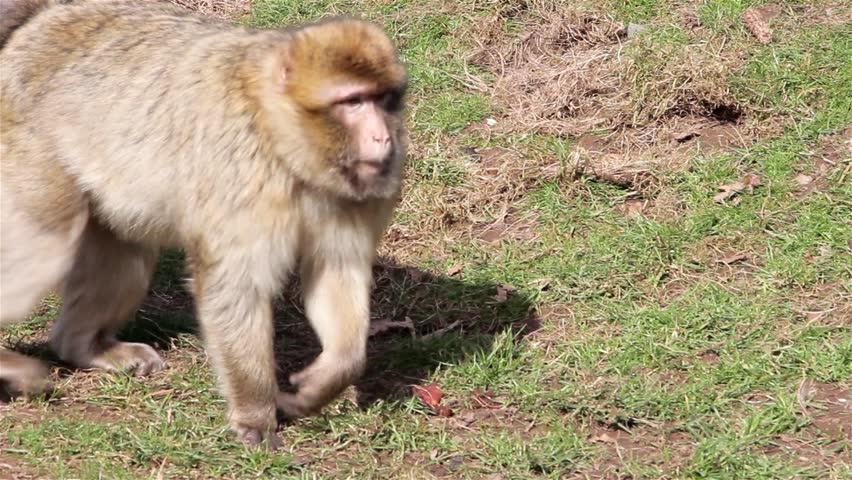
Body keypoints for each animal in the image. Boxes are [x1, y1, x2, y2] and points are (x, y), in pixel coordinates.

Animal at [0, 0, 408, 448]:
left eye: (383, 99)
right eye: (352, 101)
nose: (383, 138)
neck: (280, 138)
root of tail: (42, 21)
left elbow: (337, 269)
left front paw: (326, 381)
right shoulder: (240, 174)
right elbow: (236, 285)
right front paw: (255, 413)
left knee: (127, 255)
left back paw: (83, 346)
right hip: (27, 148)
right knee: (47, 245)